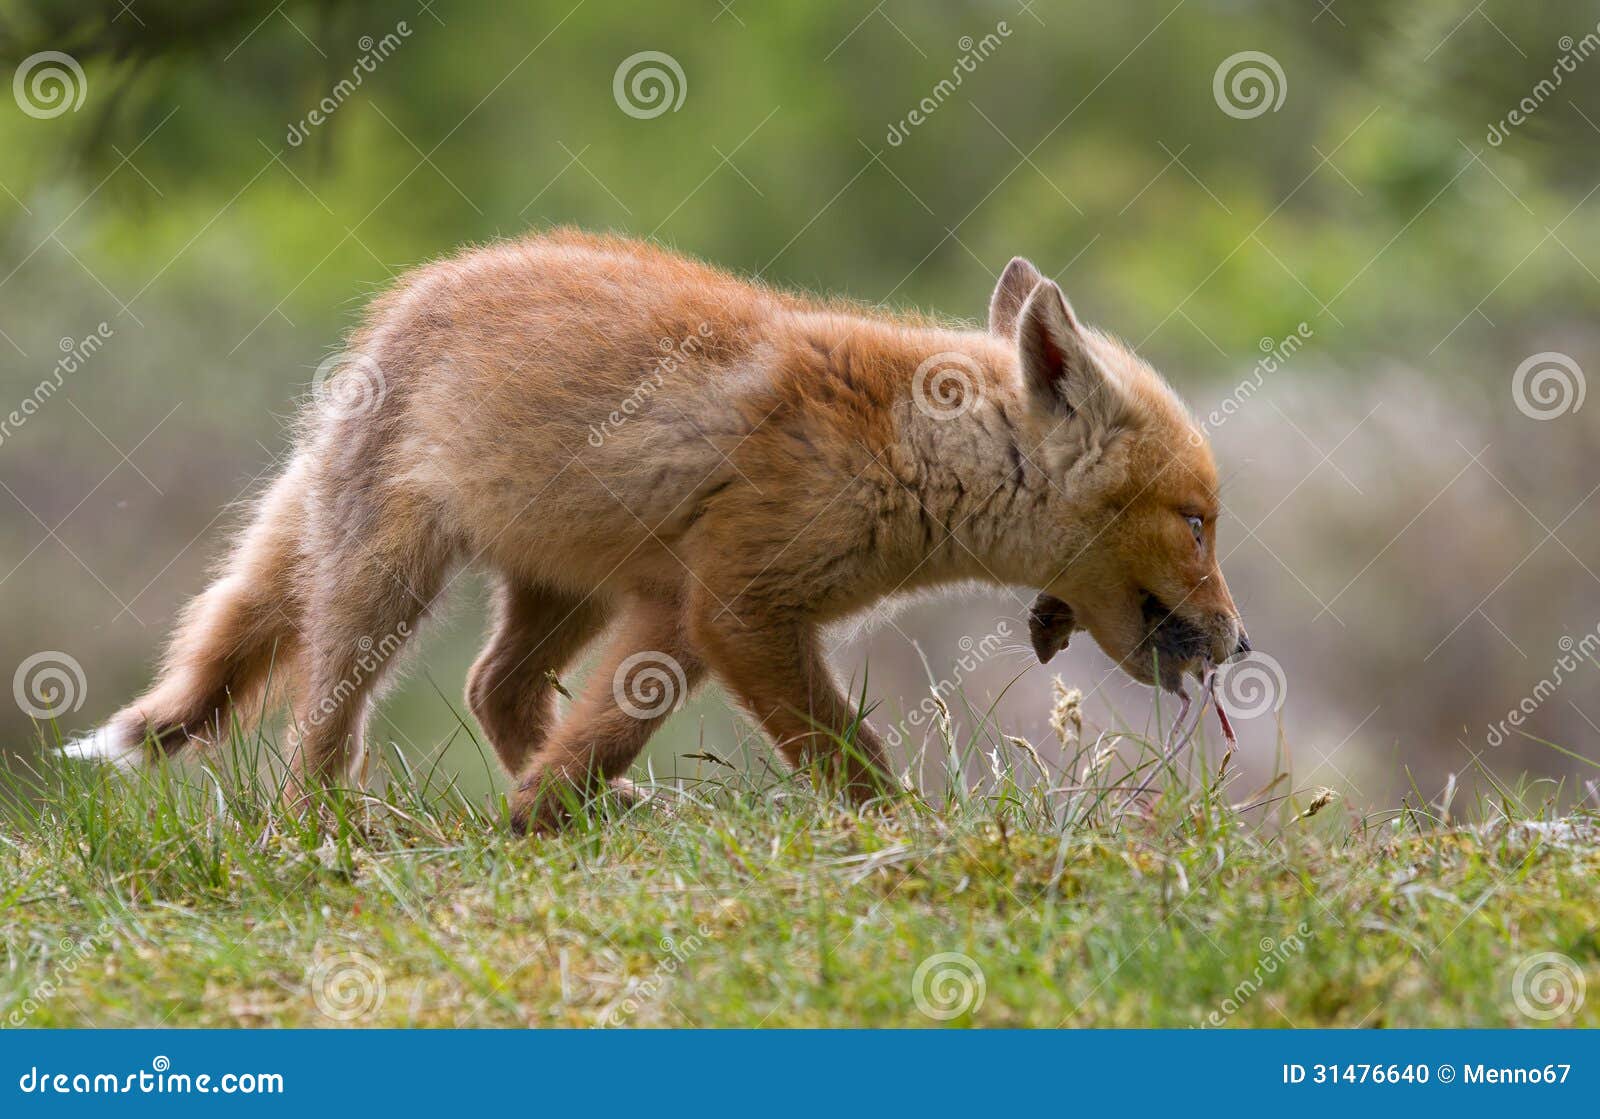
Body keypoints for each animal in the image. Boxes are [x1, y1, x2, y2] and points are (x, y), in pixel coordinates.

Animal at [68, 230, 1247, 832]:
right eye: (1197, 523)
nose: (1239, 643)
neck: (900, 452)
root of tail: (406, 296)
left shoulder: (680, 611)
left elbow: (604, 730)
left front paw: (542, 810)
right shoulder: (733, 611)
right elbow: (843, 753)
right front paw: (909, 836)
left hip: (575, 590)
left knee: (492, 685)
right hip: (385, 586)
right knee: (323, 722)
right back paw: (319, 833)